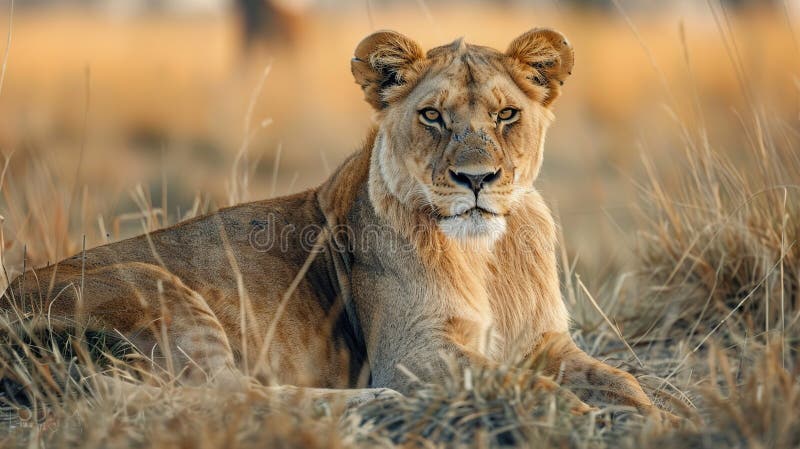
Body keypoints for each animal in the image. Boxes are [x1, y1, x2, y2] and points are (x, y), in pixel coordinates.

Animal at [2, 29, 666, 418]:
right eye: (432, 116)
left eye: (507, 115)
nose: (475, 179)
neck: (487, 253)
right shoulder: (412, 351)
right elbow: (531, 387)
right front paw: (575, 418)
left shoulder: (545, 342)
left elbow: (623, 382)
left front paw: (658, 418)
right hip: (155, 285)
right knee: (225, 394)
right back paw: (376, 404)